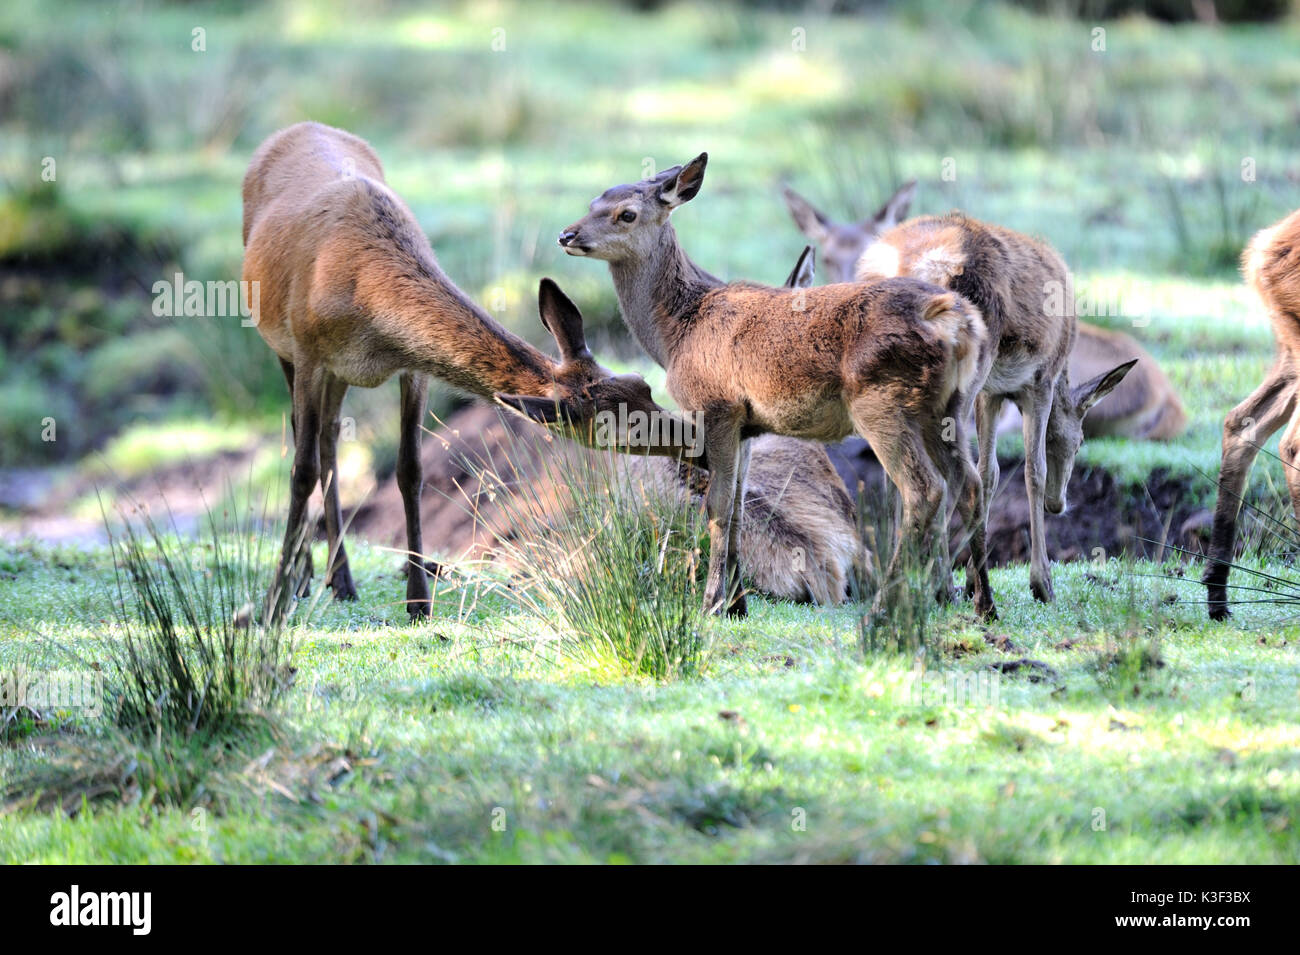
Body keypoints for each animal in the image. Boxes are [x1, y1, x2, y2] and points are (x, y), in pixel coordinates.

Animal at [242, 121, 703, 622]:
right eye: (619, 425)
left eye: (644, 387)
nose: (695, 445)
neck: (361, 304)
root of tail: (299, 126)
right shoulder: (306, 351)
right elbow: (300, 470)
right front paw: (272, 602)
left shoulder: (412, 367)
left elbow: (410, 469)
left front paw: (419, 600)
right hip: (282, 344)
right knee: (304, 438)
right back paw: (306, 577)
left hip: (337, 375)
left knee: (328, 437)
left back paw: (340, 579)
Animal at [547, 153, 997, 620]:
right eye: (593, 201)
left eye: (626, 214)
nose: (567, 234)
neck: (675, 336)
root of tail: (954, 317)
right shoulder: (746, 426)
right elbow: (737, 507)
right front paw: (735, 603)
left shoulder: (716, 406)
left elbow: (718, 506)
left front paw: (712, 604)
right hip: (951, 405)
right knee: (973, 483)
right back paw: (980, 603)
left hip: (882, 401)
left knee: (925, 490)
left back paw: (884, 608)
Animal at [853, 211, 1136, 604]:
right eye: (1081, 441)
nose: (1058, 504)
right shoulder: (1040, 380)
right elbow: (1033, 470)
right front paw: (1041, 582)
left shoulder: (992, 393)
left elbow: (991, 473)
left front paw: (973, 578)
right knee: (949, 473)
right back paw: (941, 584)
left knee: (902, 472)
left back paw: (914, 583)